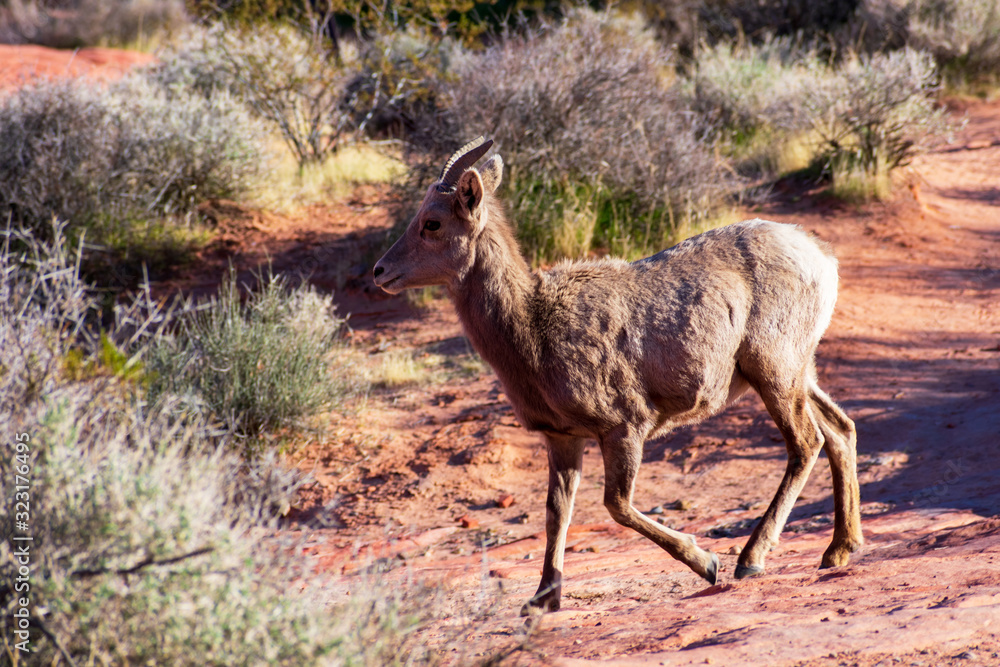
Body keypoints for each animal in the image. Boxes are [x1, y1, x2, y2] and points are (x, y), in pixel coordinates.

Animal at [373, 137, 862, 615]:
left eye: (432, 223)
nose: (380, 271)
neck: (533, 328)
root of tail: (822, 256)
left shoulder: (625, 427)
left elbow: (617, 505)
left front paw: (706, 562)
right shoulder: (562, 439)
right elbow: (557, 512)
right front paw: (543, 599)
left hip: (774, 372)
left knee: (806, 442)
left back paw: (751, 559)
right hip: (799, 371)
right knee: (840, 429)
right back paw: (838, 550)